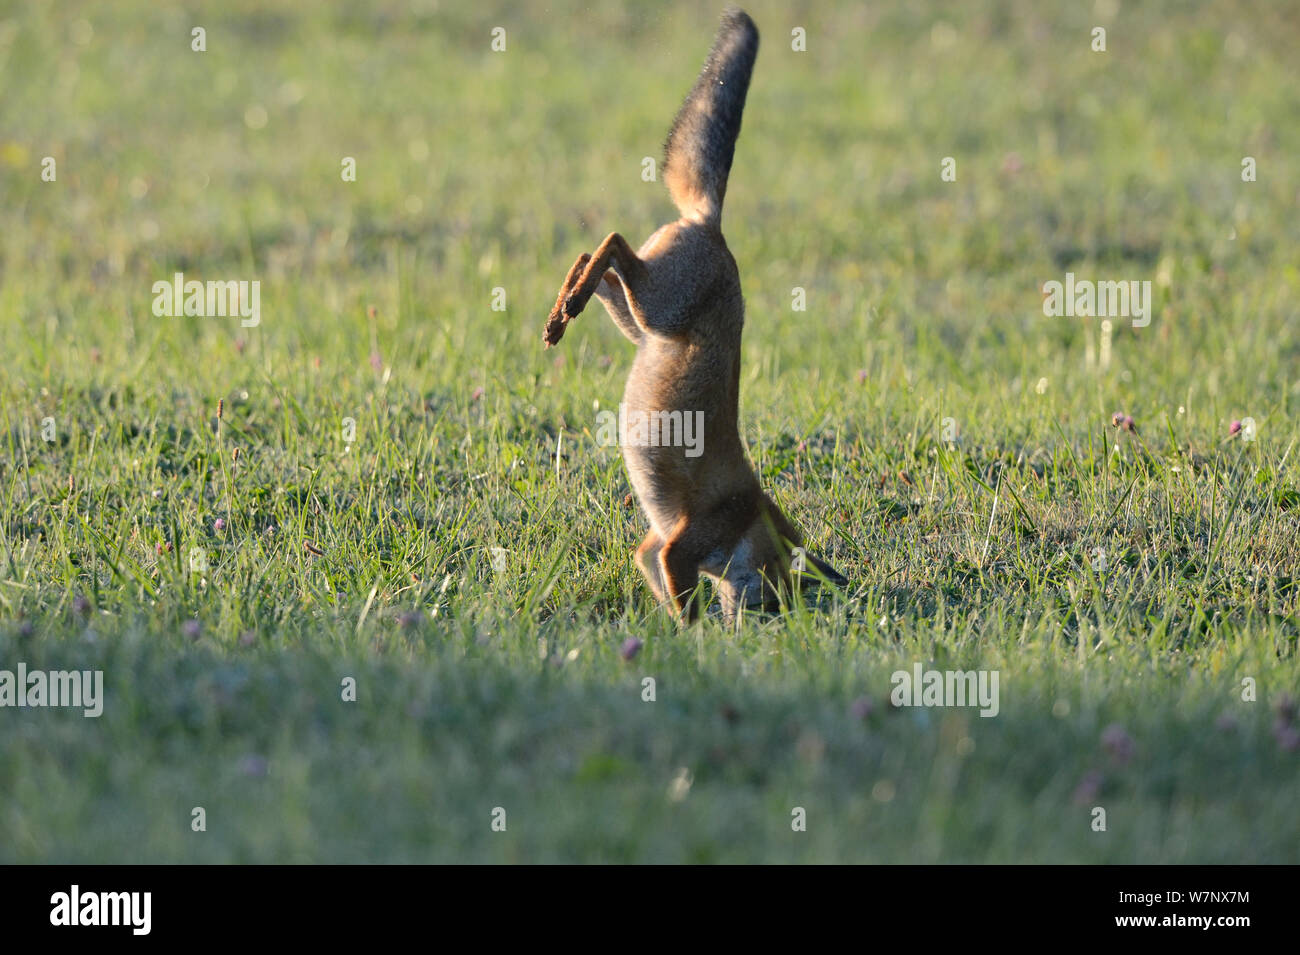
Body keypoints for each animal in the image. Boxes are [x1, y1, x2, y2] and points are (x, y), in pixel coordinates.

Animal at [542, 7, 846, 622]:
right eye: (779, 584)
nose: (764, 620)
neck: (747, 515)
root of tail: (713, 224)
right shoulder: (681, 545)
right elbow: (686, 611)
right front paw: (696, 639)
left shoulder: (653, 547)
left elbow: (650, 570)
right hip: (660, 306)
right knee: (611, 241)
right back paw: (569, 306)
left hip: (641, 321)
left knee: (596, 256)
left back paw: (564, 307)